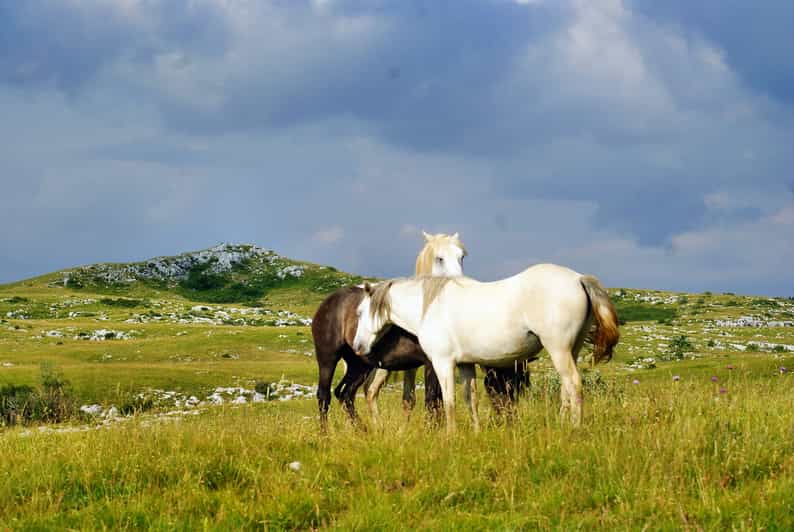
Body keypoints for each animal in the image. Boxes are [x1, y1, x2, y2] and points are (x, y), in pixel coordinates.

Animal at [352, 264, 620, 433]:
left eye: (360, 312)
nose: (357, 347)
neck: (430, 306)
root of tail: (578, 278)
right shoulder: (465, 364)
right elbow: (470, 399)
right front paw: (476, 431)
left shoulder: (443, 363)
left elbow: (449, 401)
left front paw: (450, 436)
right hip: (571, 349)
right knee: (567, 389)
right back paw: (563, 424)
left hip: (558, 349)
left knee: (573, 384)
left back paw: (574, 428)